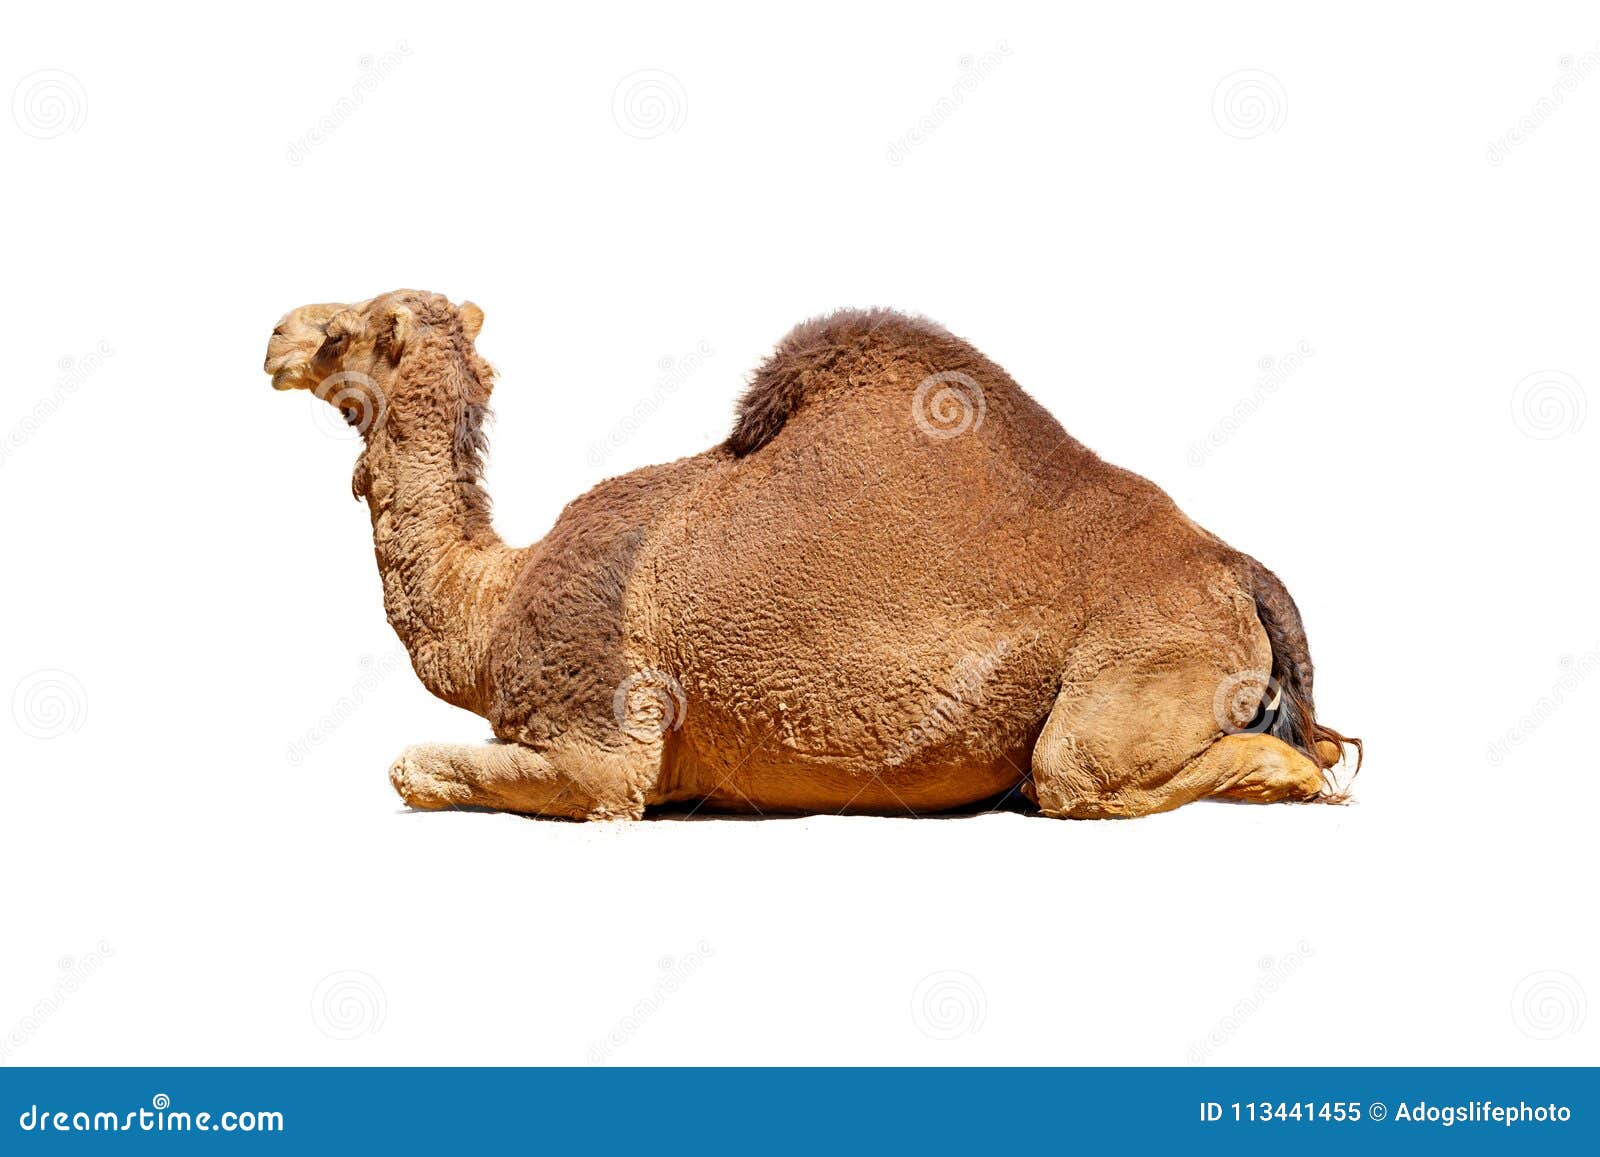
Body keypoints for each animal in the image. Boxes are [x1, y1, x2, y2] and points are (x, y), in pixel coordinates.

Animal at [264, 290, 1358, 821]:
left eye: (344, 332)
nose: (274, 335)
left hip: (1135, 666)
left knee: (1075, 775)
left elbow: (412, 767)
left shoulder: (601, 747)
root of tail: (1239, 570)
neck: (496, 602)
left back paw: (1292, 776)